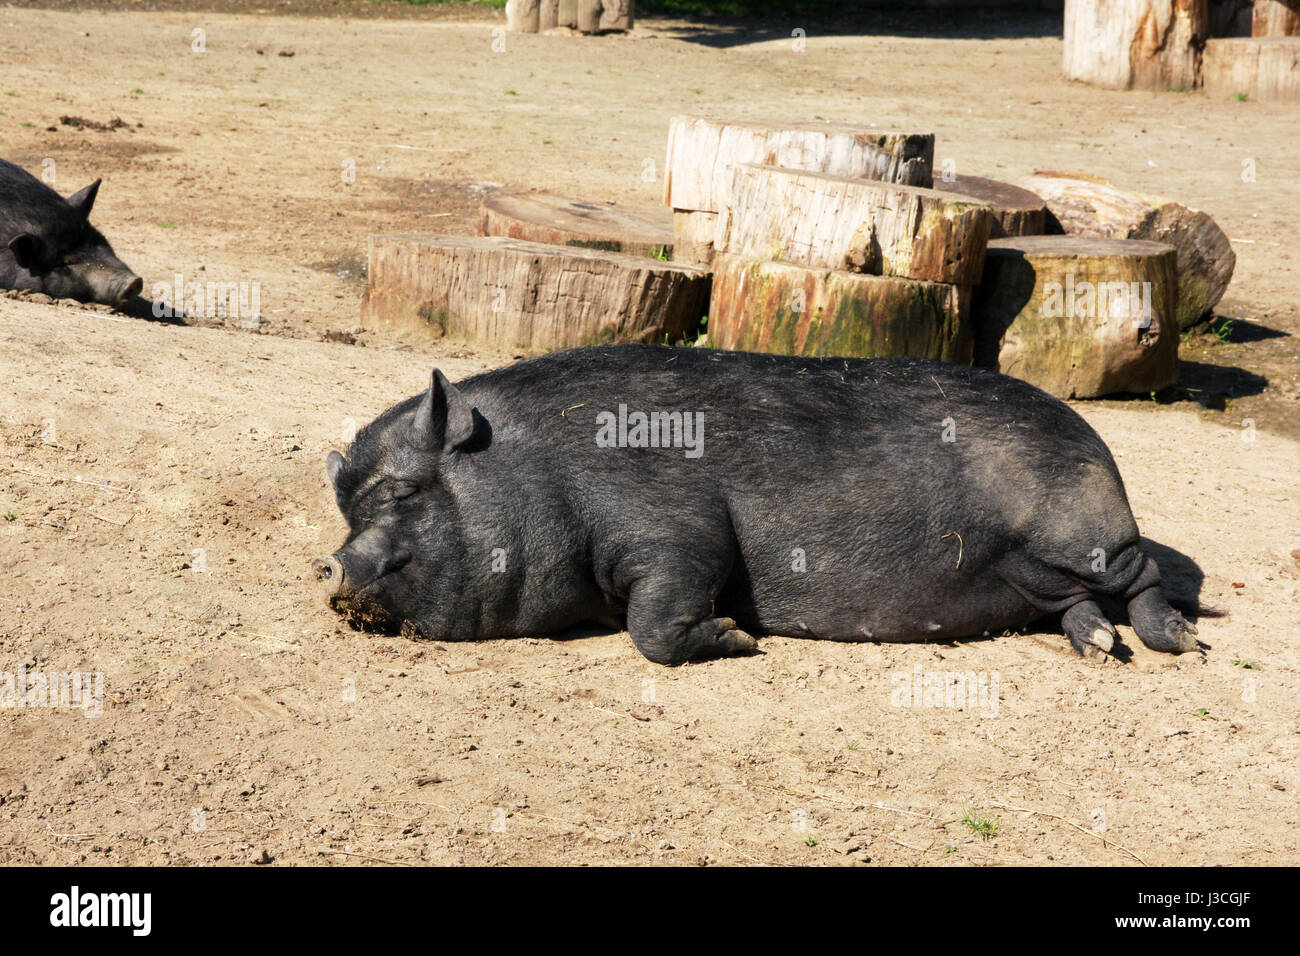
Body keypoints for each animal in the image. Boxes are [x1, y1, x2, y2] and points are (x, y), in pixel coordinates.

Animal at [315, 345, 1200, 665]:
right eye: (346, 510)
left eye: (404, 490)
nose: (329, 564)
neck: (544, 474)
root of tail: (1099, 443)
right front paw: (739, 633)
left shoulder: (681, 529)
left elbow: (656, 624)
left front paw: (739, 637)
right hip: (1040, 572)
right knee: (1075, 606)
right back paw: (1098, 651)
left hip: (1082, 534)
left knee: (1145, 576)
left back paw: (1177, 643)